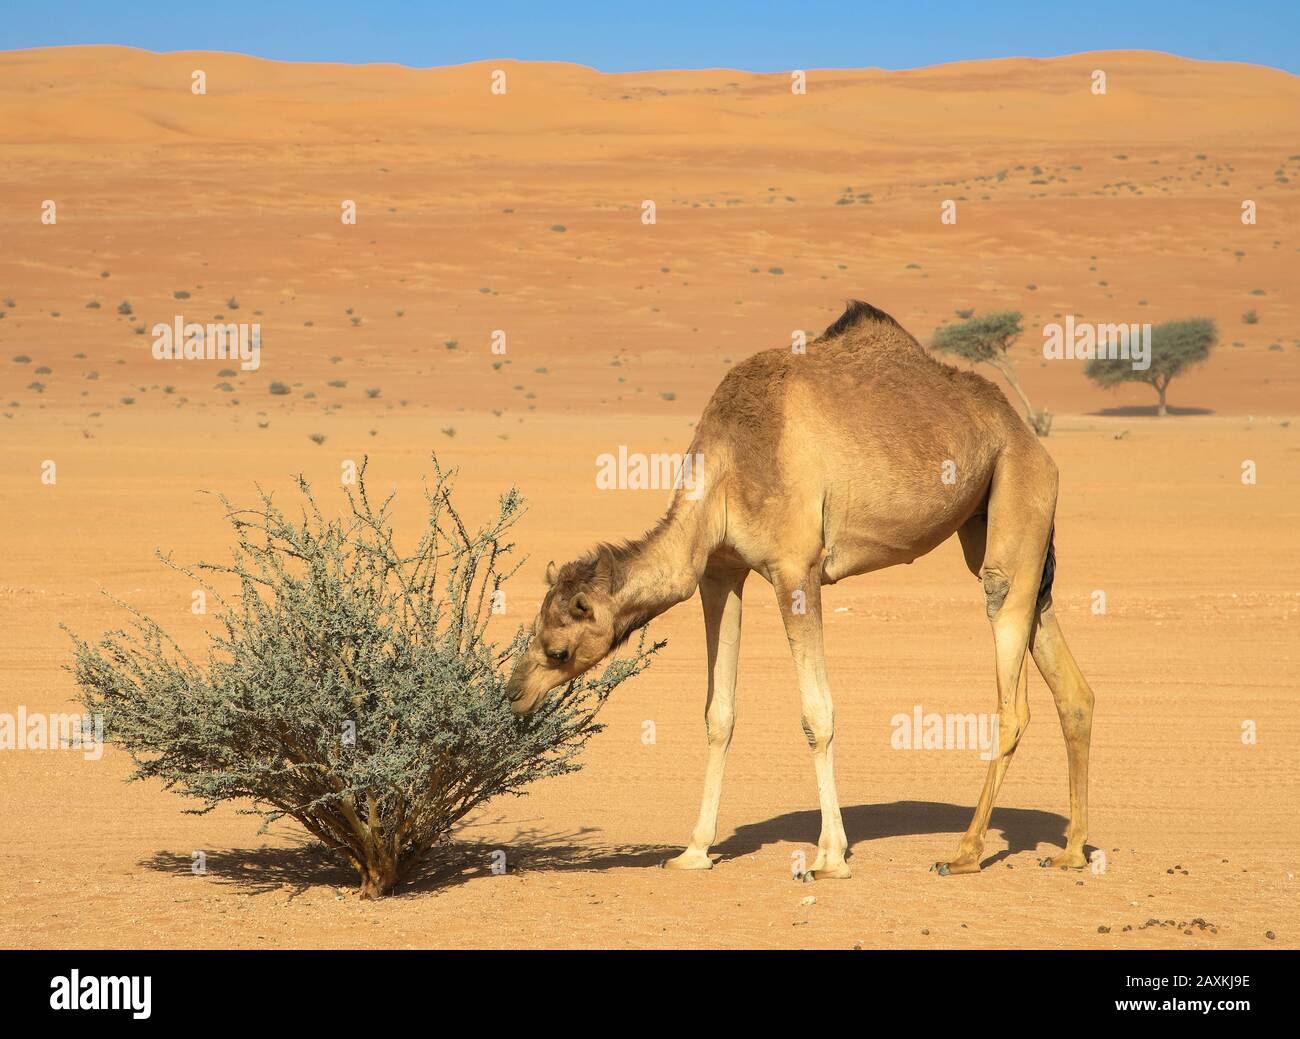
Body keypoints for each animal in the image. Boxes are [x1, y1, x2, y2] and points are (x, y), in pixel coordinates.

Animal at [507, 300, 1095, 880]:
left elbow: (817, 715)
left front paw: (830, 856)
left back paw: (964, 853)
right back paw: (1070, 851)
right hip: (991, 521)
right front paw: (694, 850)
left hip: (1018, 487)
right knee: (1070, 683)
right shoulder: (720, 573)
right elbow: (718, 714)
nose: (514, 695)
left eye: (556, 650)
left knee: (1009, 673)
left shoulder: (796, 569)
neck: (731, 462)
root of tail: (1029, 436)